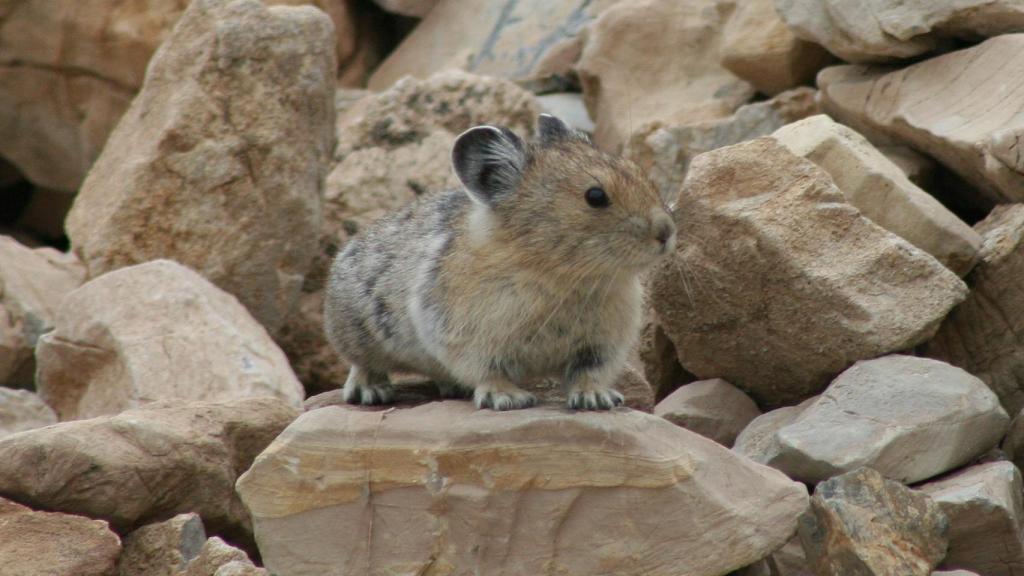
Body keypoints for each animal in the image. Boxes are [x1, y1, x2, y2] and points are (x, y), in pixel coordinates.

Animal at [324, 114, 676, 410]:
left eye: (638, 172)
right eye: (595, 196)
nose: (667, 231)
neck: (564, 276)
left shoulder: (602, 346)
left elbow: (588, 373)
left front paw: (597, 397)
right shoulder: (466, 337)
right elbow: (487, 371)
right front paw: (505, 398)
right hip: (354, 333)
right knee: (362, 363)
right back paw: (369, 390)